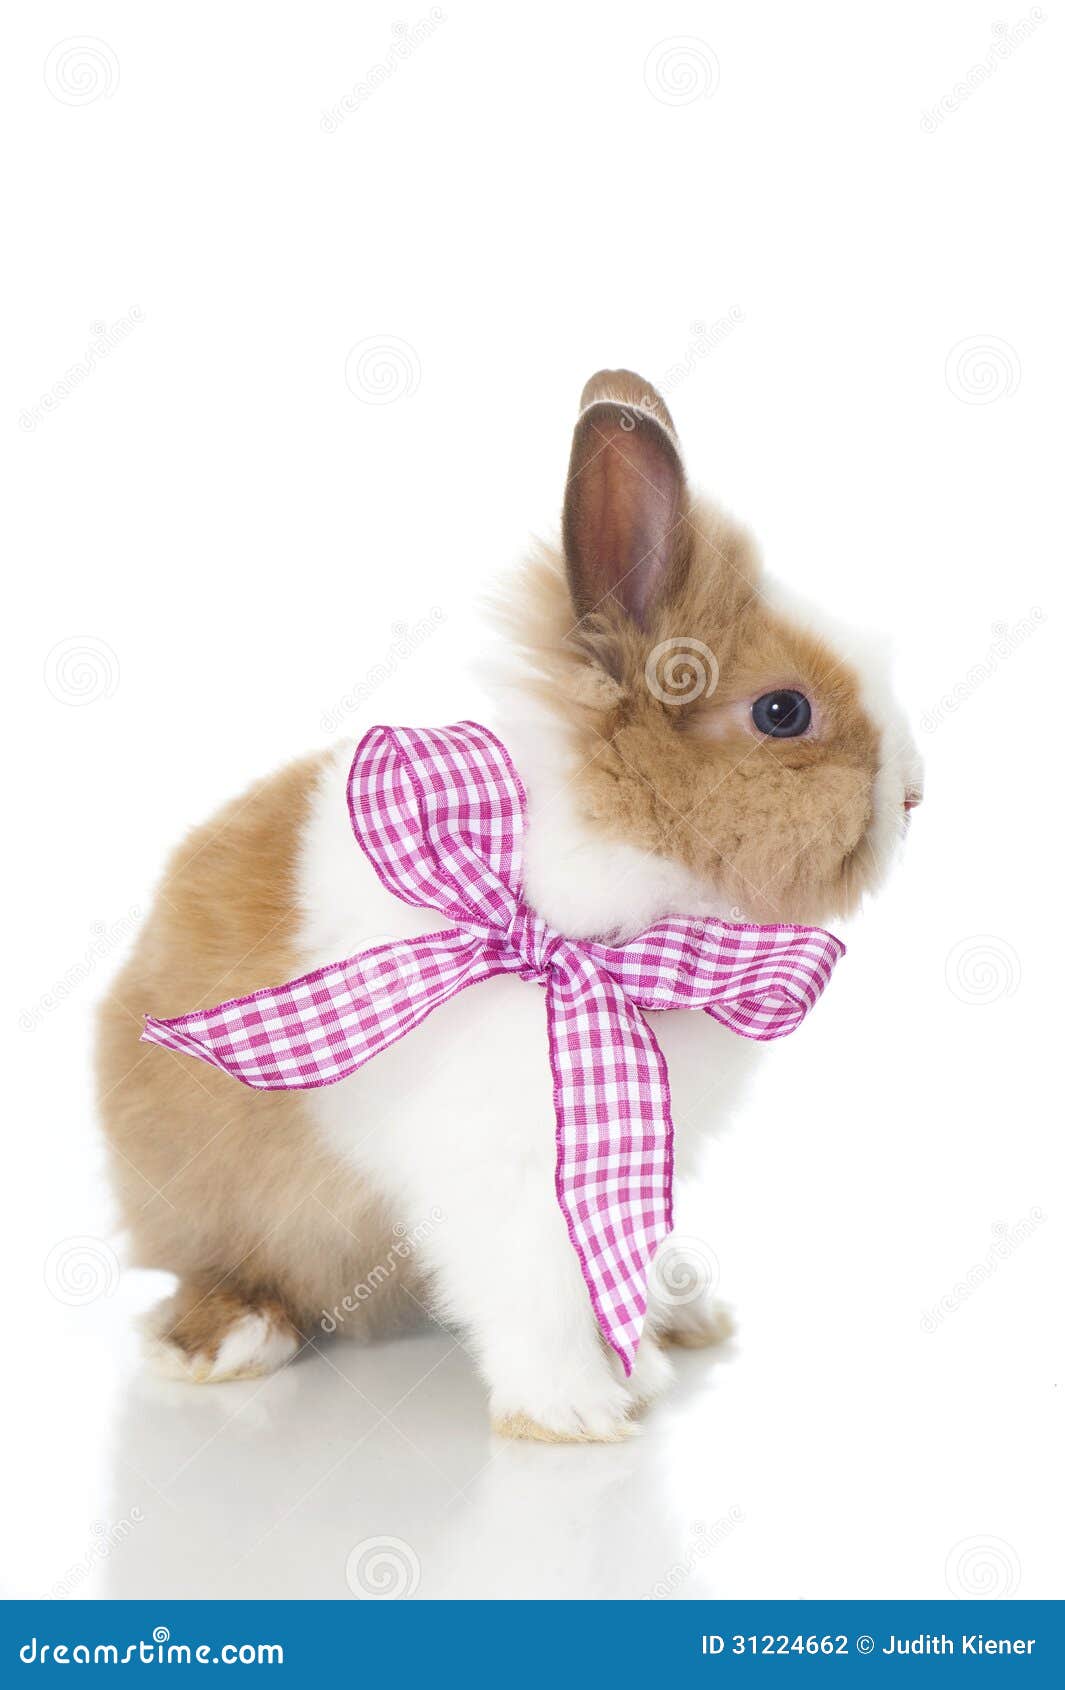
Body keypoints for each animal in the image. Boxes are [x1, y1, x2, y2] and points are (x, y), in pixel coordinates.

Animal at [97, 368, 922, 1442]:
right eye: (781, 712)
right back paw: (228, 1339)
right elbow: (537, 1295)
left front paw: (634, 1367)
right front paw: (578, 1414)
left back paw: (685, 1307)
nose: (913, 795)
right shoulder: (510, 1175)